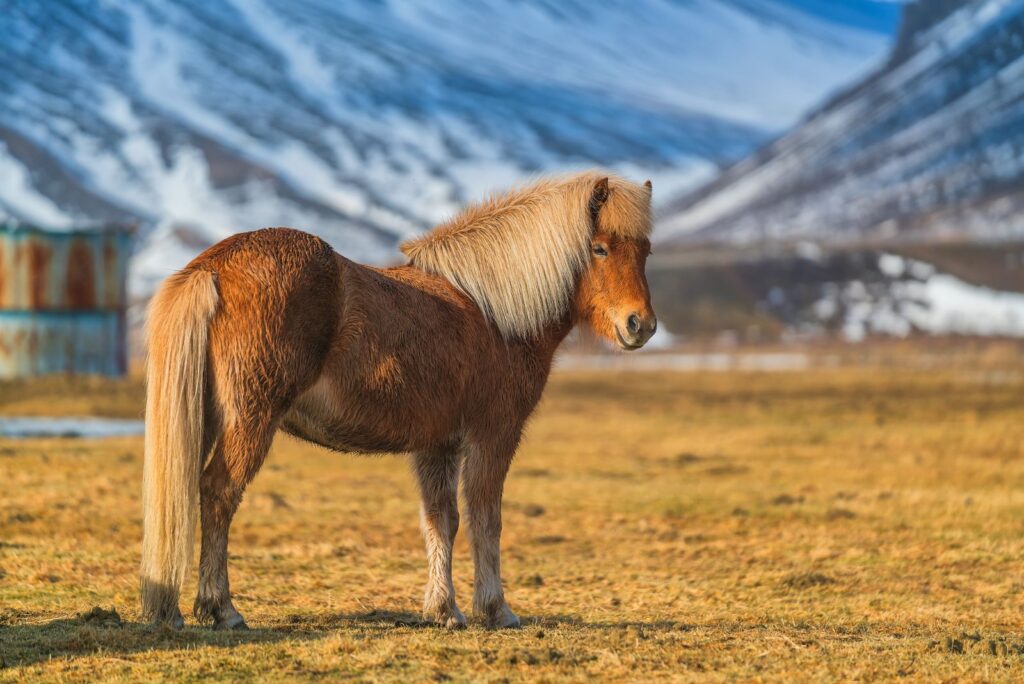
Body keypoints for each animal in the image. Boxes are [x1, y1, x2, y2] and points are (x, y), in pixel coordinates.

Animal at [140, 171, 657, 630]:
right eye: (599, 248)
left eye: (645, 251)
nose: (641, 326)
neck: (493, 314)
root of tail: (213, 267)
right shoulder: (492, 439)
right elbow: (485, 519)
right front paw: (497, 610)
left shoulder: (437, 447)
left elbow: (441, 521)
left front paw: (444, 610)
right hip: (250, 420)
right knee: (218, 493)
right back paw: (222, 609)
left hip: (205, 418)